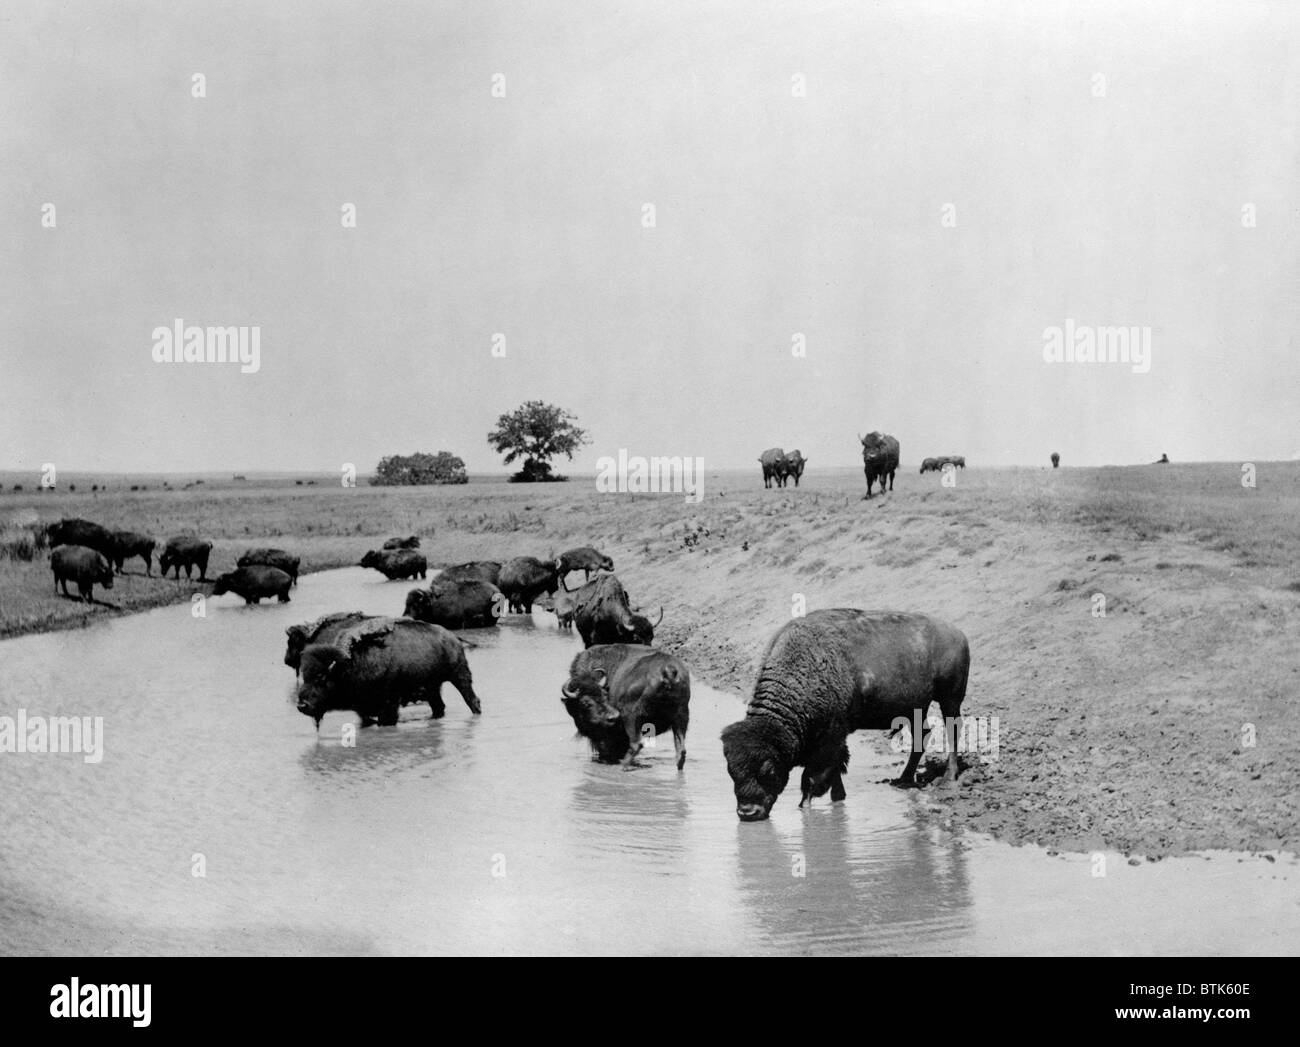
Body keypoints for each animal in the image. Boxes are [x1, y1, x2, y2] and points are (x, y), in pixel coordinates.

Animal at [295, 617, 480, 728]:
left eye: (321, 678)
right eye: (305, 677)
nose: (302, 705)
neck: (348, 664)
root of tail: (453, 637)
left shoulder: (389, 704)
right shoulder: (363, 708)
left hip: (460, 676)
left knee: (472, 700)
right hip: (432, 687)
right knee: (439, 706)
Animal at [561, 644, 690, 768]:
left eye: (604, 695)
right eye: (585, 703)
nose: (613, 717)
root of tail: (668, 671)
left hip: (631, 718)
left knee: (636, 744)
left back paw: (622, 766)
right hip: (681, 717)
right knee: (681, 750)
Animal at [721, 609, 969, 821]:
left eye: (769, 770)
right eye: (731, 771)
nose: (748, 812)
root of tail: (958, 634)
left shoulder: (829, 740)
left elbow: (812, 779)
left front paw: (805, 808)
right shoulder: (833, 742)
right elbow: (835, 770)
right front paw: (837, 797)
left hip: (950, 699)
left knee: (952, 731)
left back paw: (947, 778)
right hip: (915, 709)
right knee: (922, 735)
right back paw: (904, 779)